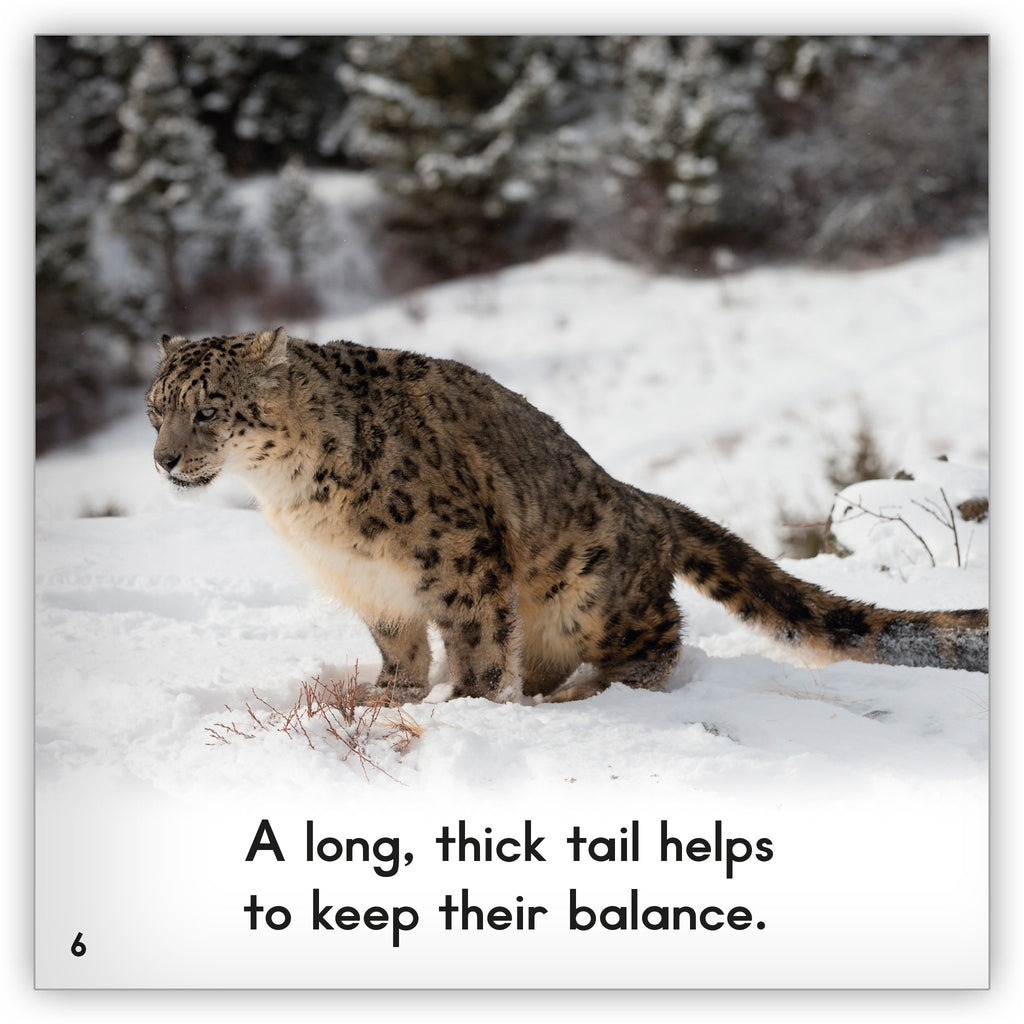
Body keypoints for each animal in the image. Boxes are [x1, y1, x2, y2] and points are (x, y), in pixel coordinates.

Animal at [146, 327, 988, 703]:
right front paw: (388, 696)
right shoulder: (369, 583)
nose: (162, 459)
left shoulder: (457, 558)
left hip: (588, 589)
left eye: (209, 409)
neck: (294, 501)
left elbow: (478, 644)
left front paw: (467, 706)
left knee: (659, 638)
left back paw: (590, 691)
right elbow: (399, 645)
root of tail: (644, 499)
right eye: (156, 409)